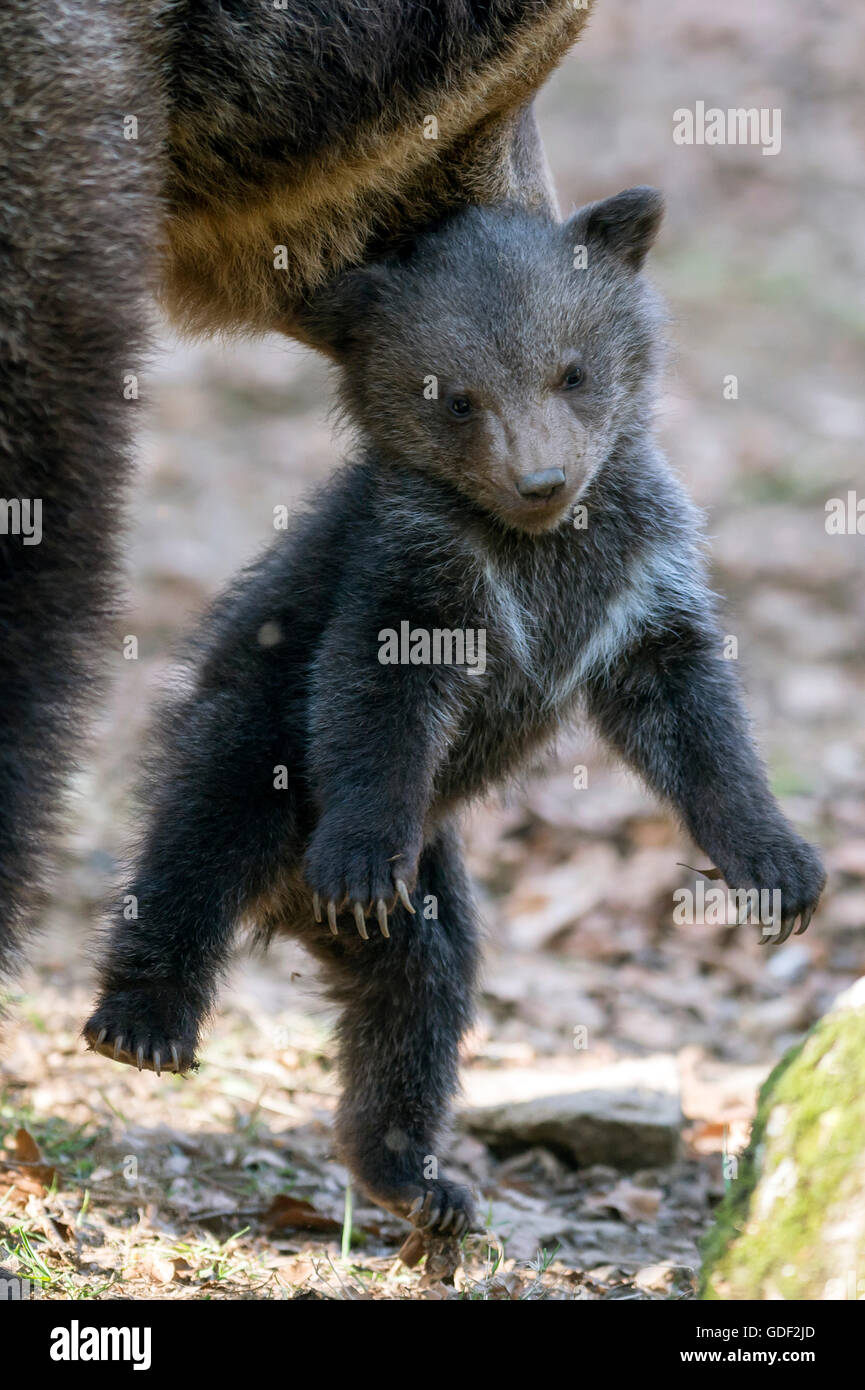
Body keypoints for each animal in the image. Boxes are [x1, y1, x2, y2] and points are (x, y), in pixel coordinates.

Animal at [83, 189, 825, 1241]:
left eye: (571, 370)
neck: (539, 555)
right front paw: (357, 861)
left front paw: (776, 870)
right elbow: (373, 701)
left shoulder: (639, 590)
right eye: (455, 397)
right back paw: (143, 1022)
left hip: (427, 894)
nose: (540, 484)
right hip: (256, 744)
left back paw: (417, 1178)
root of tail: (285, 904)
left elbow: (696, 724)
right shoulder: (415, 576)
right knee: (198, 843)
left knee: (417, 1000)